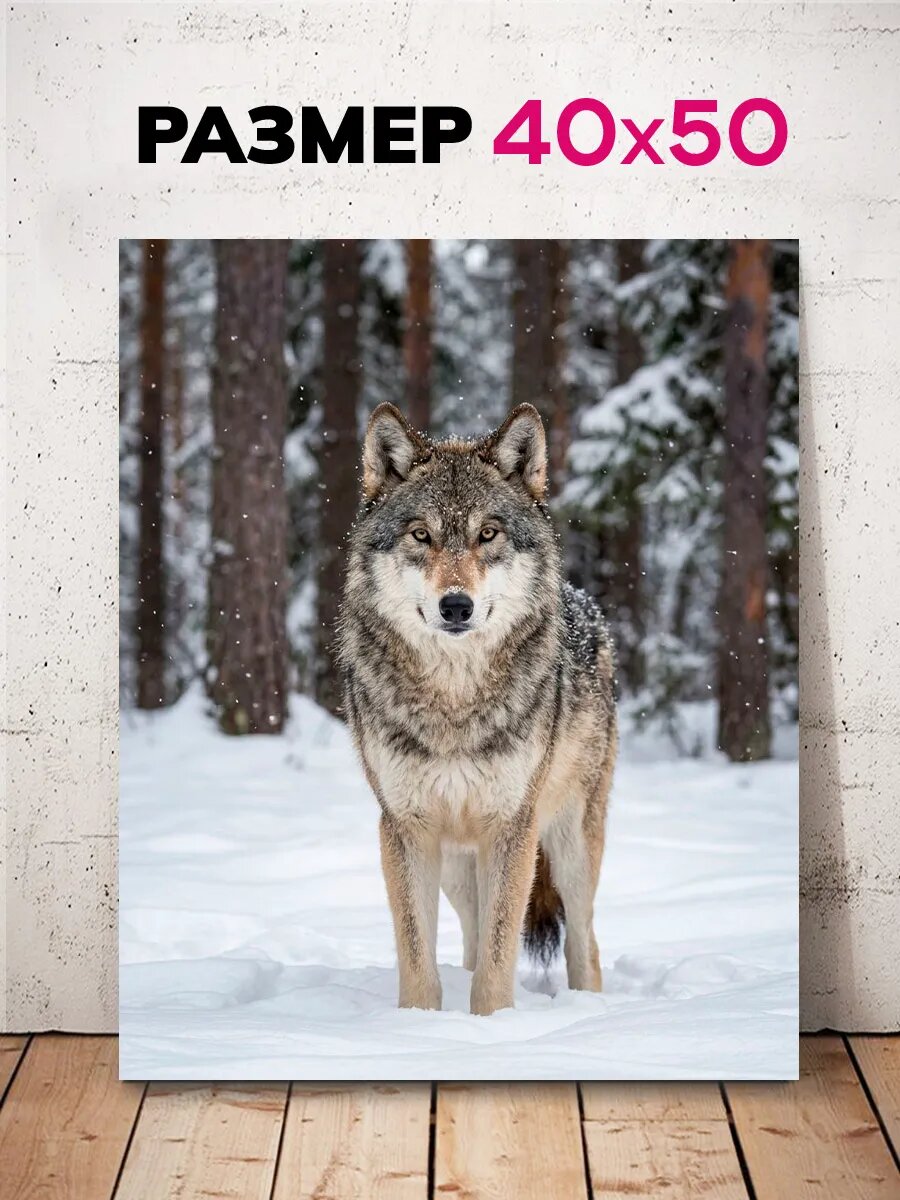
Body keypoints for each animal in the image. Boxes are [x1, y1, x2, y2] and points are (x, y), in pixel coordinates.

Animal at [338, 403, 617, 1016]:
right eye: (422, 534)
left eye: (487, 533)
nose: (456, 606)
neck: (454, 704)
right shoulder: (405, 828)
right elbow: (419, 958)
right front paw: (420, 1025)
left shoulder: (512, 827)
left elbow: (498, 958)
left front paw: (493, 1025)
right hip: (458, 865)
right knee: (469, 937)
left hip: (569, 846)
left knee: (585, 941)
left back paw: (589, 1010)